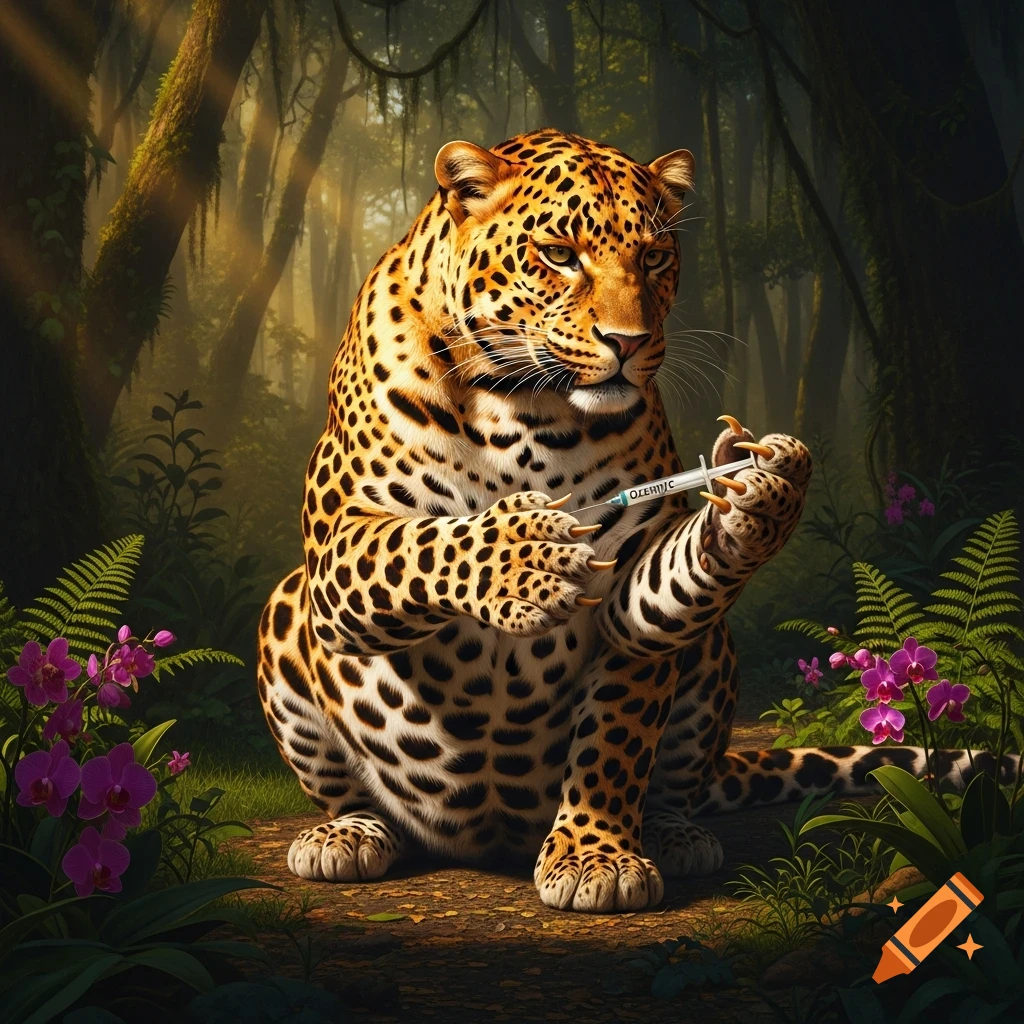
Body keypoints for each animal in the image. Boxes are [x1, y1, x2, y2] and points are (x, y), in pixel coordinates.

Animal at [256, 129, 1011, 913]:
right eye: (558, 253)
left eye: (653, 257)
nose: (629, 341)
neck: (523, 410)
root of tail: (485, 842)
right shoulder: (341, 544)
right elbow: (423, 545)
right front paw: (524, 552)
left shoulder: (630, 594)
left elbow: (614, 739)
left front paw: (596, 855)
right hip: (286, 609)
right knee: (354, 794)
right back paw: (346, 836)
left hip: (711, 653)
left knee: (677, 783)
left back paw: (674, 835)